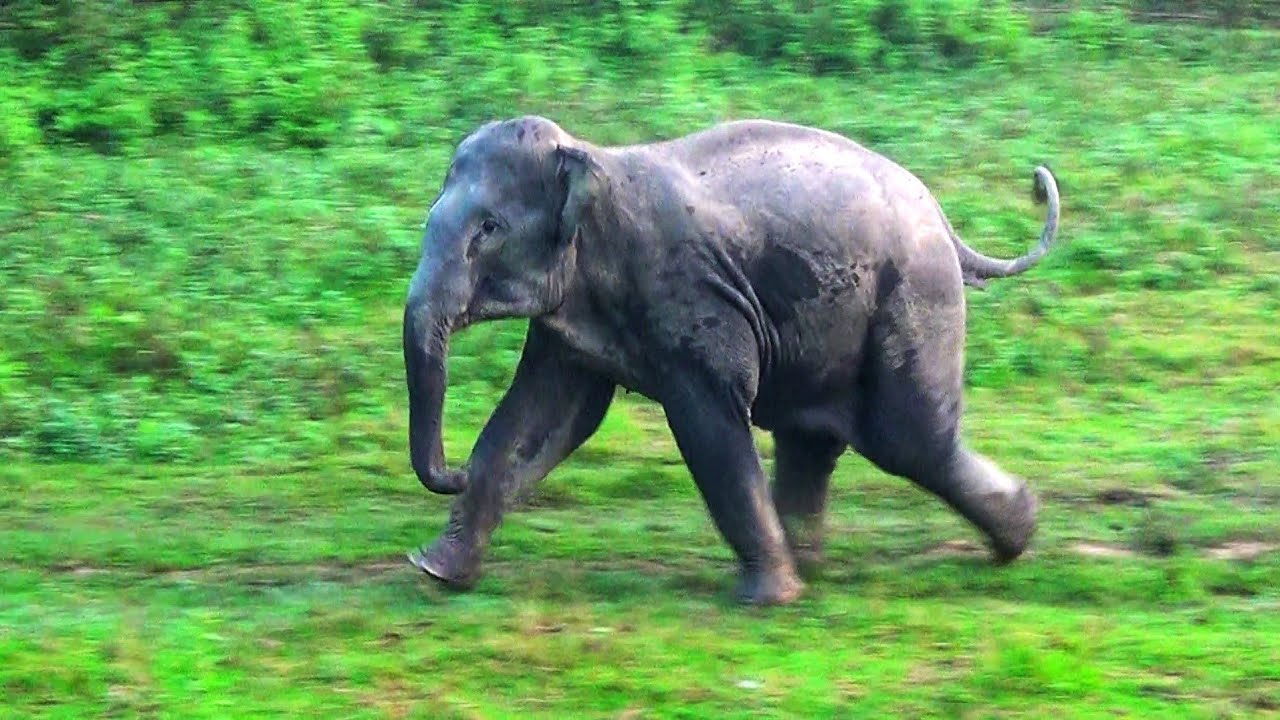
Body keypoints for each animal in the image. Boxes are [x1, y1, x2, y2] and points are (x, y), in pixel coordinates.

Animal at [403, 115, 1060, 605]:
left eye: (489, 228)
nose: (452, 469)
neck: (593, 157)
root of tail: (948, 226)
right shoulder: (571, 312)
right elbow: (542, 417)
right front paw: (436, 571)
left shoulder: (696, 299)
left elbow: (709, 424)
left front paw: (766, 601)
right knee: (818, 438)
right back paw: (812, 567)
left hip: (913, 295)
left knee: (909, 439)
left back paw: (1017, 533)